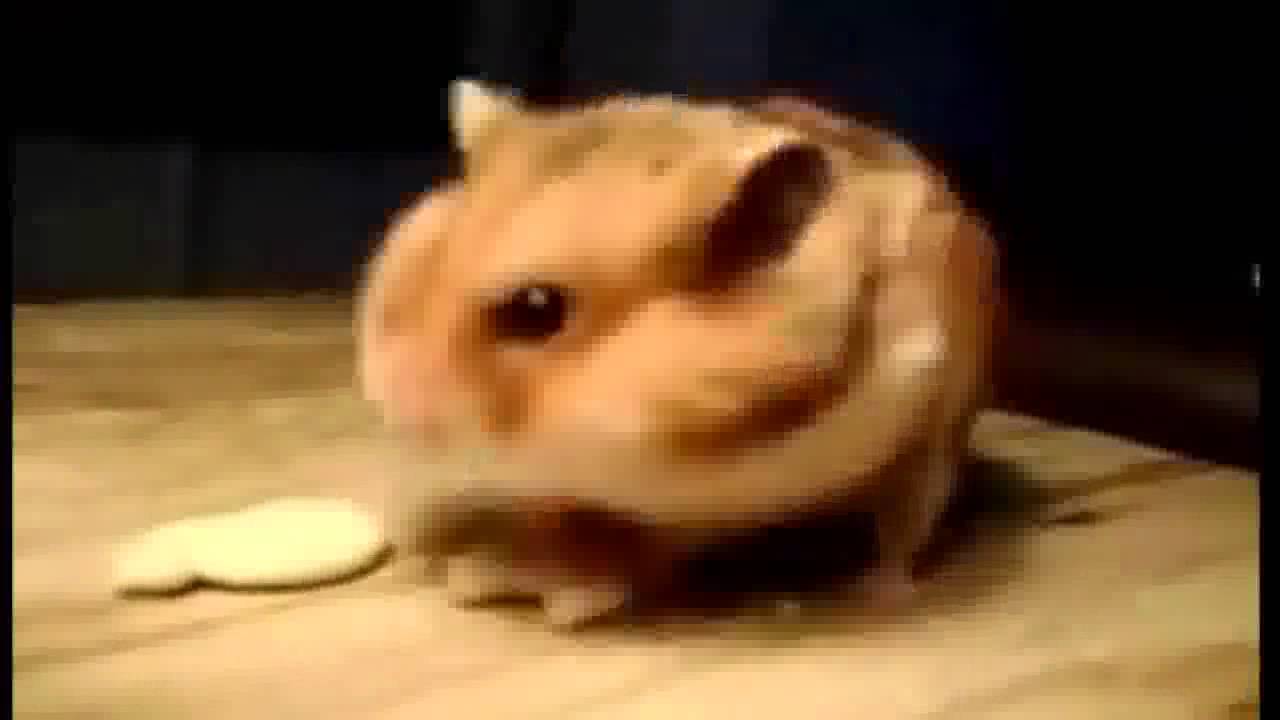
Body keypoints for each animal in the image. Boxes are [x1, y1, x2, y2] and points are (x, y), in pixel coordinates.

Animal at [357, 79, 1001, 623]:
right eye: (425, 260)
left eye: (536, 309)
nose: (392, 410)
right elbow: (563, 519)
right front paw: (478, 574)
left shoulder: (708, 505)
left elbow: (628, 546)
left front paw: (555, 598)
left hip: (937, 441)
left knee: (904, 525)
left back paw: (873, 593)